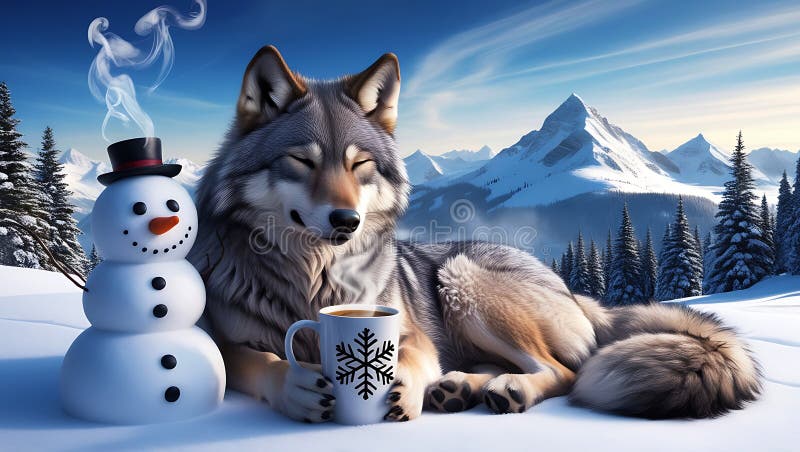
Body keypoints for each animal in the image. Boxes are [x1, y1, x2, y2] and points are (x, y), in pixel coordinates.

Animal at [189, 45, 761, 423]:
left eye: (360, 166)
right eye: (302, 162)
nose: (345, 221)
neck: (315, 282)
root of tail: (574, 292)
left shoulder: (414, 334)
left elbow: (412, 360)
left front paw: (402, 390)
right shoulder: (227, 339)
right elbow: (255, 360)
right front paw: (295, 385)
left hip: (463, 280)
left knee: (566, 371)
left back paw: (503, 391)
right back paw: (459, 389)